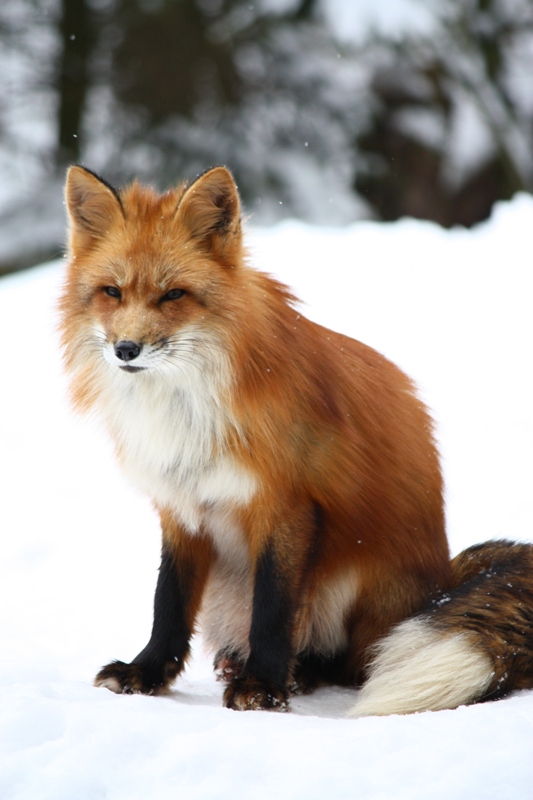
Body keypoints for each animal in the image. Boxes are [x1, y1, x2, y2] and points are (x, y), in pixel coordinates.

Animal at [60, 164, 533, 715]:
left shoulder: (286, 505)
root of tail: (443, 583)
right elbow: (168, 602)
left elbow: (273, 608)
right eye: (112, 292)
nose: (126, 349)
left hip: (351, 582)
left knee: (353, 662)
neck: (187, 404)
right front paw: (148, 673)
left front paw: (263, 685)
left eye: (173, 294)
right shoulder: (181, 508)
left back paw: (299, 671)